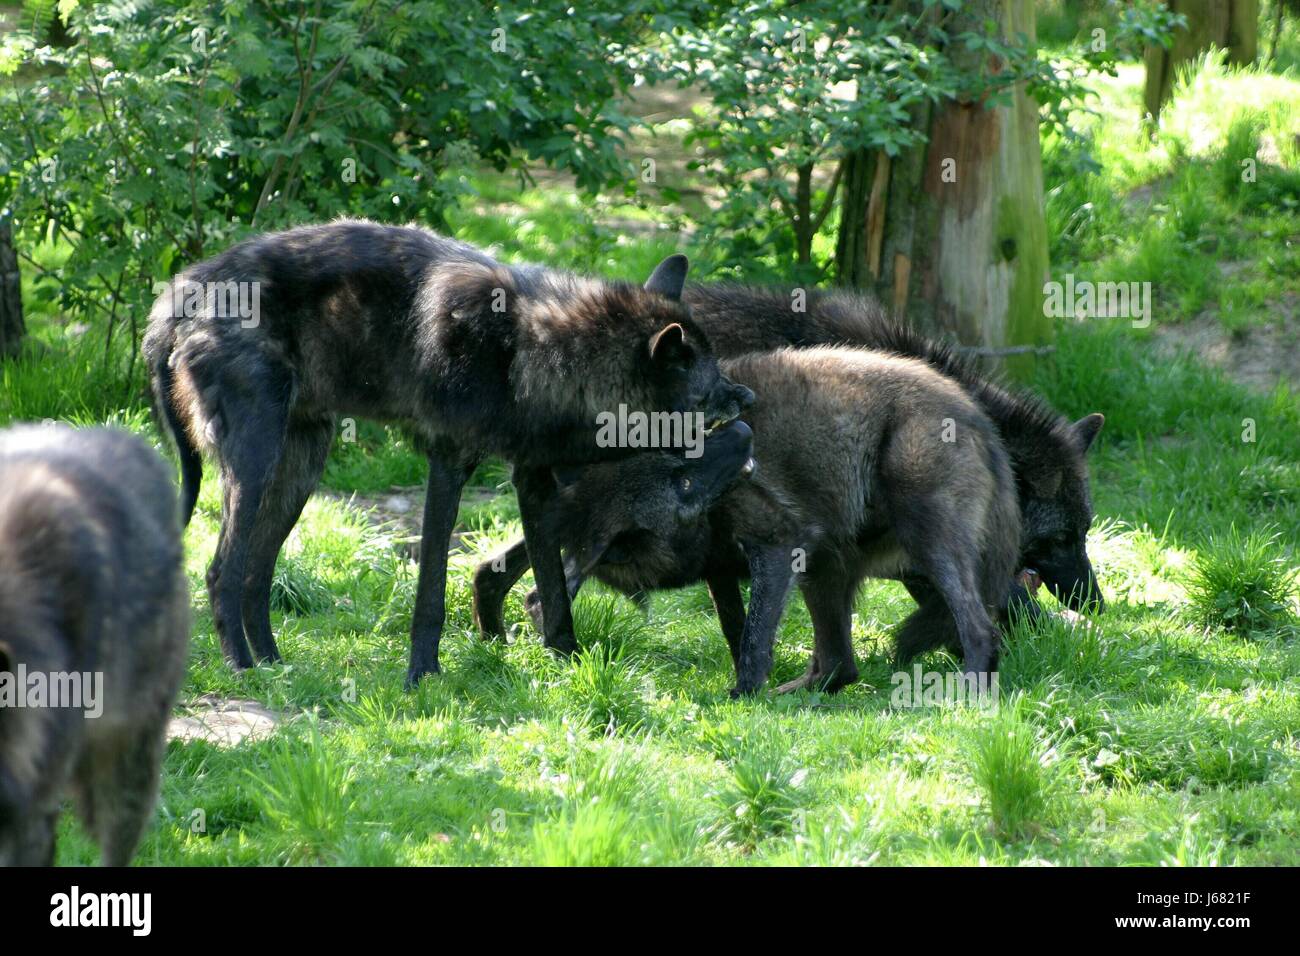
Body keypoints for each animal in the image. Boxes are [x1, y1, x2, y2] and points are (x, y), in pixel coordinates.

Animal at [143, 220, 751, 685]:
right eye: (705, 391)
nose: (746, 402)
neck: (532, 346)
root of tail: (181, 293)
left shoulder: (534, 483)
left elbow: (554, 592)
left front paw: (568, 662)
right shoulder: (449, 464)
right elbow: (432, 590)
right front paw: (422, 675)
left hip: (298, 473)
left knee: (255, 573)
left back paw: (275, 666)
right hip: (256, 465)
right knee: (221, 572)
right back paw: (244, 670)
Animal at [485, 347, 1021, 696]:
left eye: (680, 464)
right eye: (682, 482)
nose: (742, 433)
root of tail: (975, 416)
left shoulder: (779, 548)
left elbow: (754, 640)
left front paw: (741, 699)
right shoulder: (723, 570)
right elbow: (736, 628)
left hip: (923, 545)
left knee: (977, 627)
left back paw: (969, 695)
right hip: (827, 571)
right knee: (839, 668)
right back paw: (797, 696)